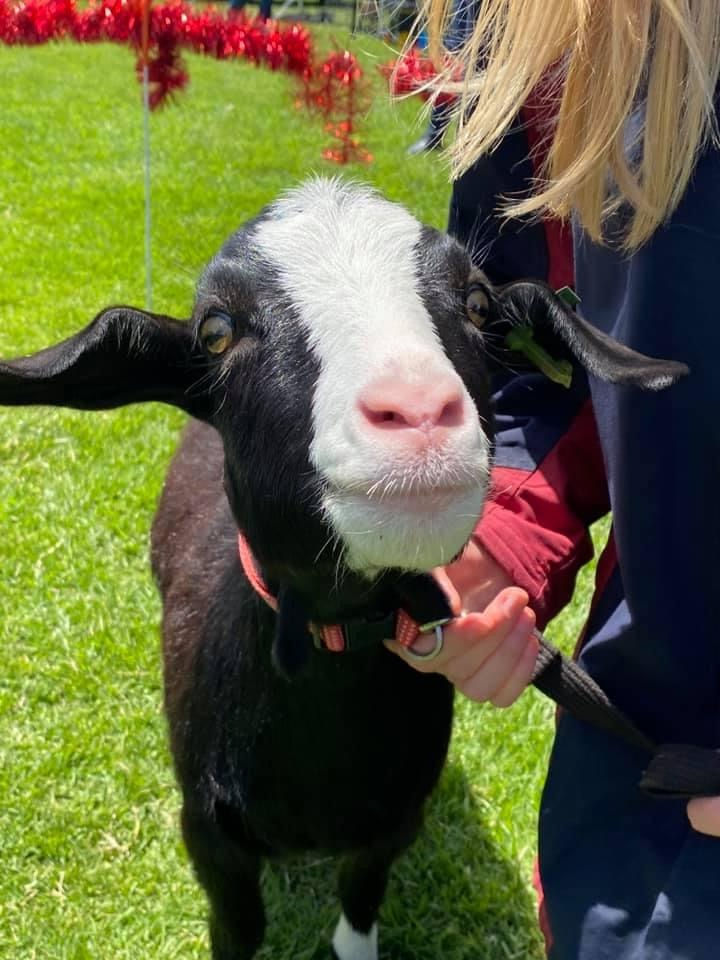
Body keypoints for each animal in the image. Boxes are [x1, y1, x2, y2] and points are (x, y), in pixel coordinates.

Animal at [0, 179, 686, 960]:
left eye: (478, 304)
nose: (417, 412)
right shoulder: (208, 838)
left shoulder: (391, 826)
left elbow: (357, 917)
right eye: (216, 330)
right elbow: (239, 929)